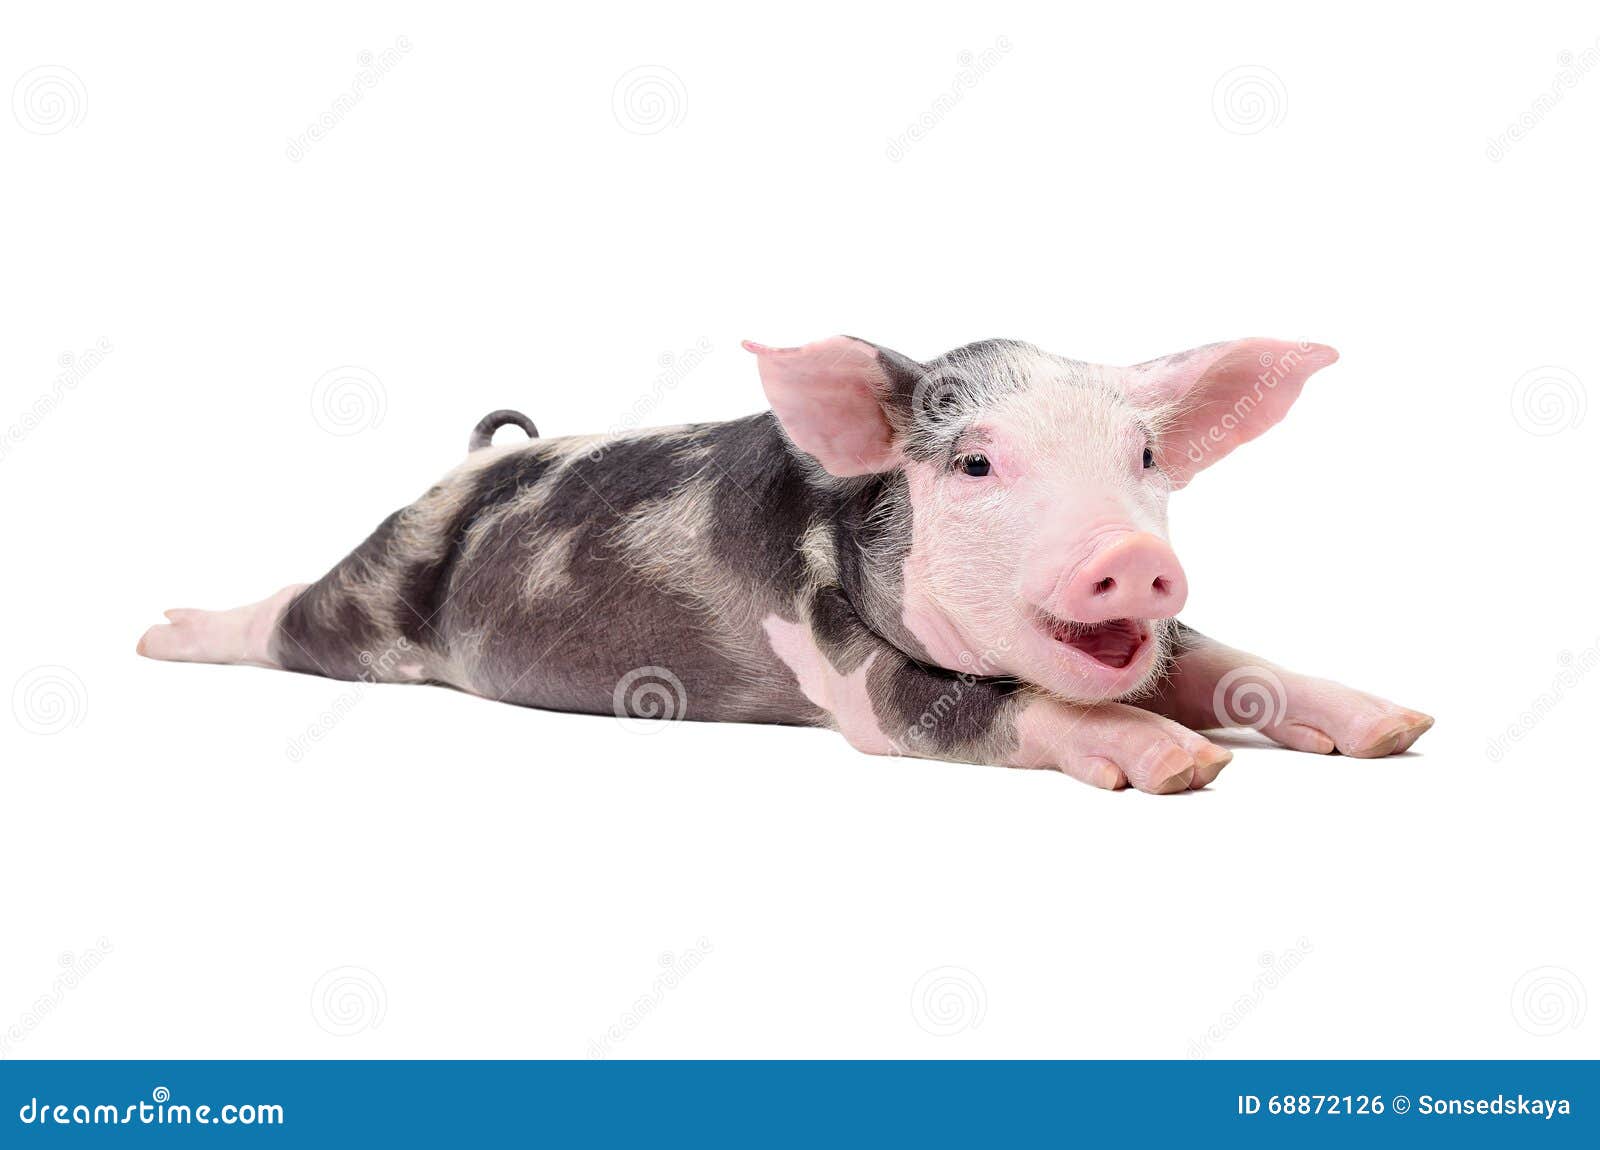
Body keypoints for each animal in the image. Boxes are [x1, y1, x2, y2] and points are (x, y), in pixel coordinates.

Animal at [137, 335, 1433, 793]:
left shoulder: (1166, 638)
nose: (1129, 556)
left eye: (1145, 455)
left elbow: (1226, 661)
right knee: (286, 616)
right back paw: (160, 633)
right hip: (368, 591)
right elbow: (990, 708)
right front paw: (1178, 762)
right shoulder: (849, 673)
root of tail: (472, 467)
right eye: (975, 463)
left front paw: (1394, 728)